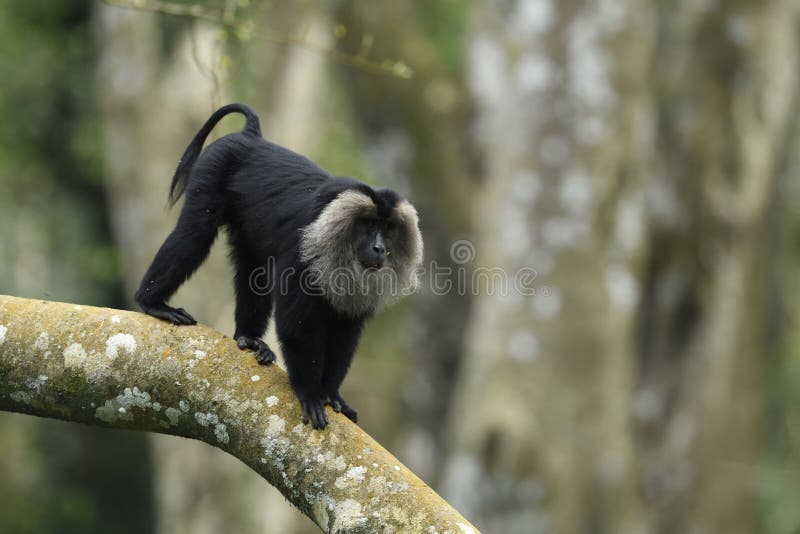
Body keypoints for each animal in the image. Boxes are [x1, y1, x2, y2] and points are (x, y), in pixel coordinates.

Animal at [134, 103, 423, 429]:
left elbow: (344, 335)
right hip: (214, 167)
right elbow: (297, 325)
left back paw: (248, 338)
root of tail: (252, 137)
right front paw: (310, 393)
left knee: (252, 268)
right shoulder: (301, 255)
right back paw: (152, 303)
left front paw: (331, 394)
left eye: (387, 228)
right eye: (369, 224)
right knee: (195, 232)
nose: (379, 248)